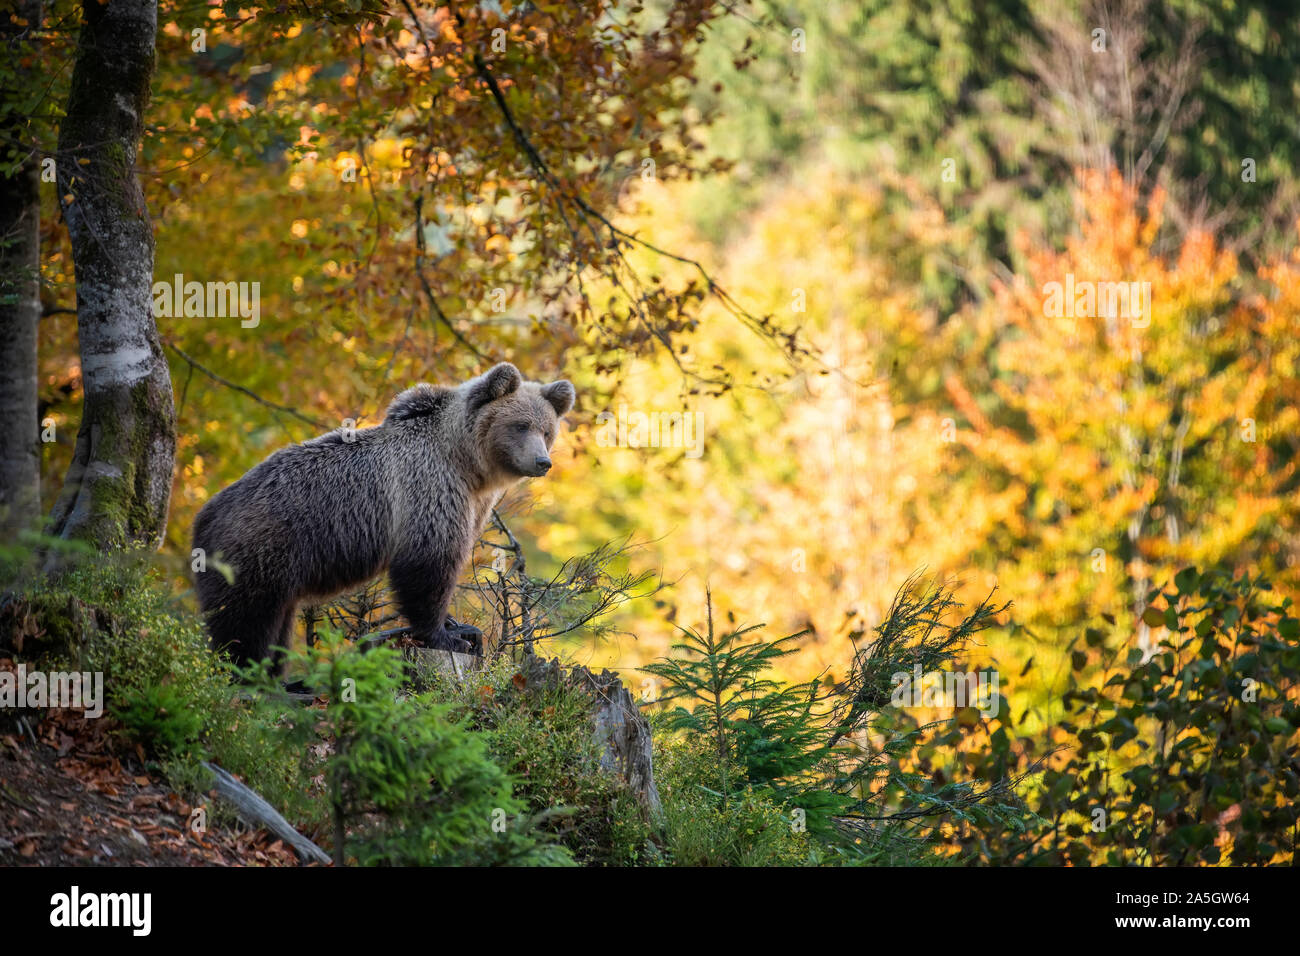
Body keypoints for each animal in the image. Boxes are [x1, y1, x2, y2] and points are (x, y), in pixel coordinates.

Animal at [192, 362, 575, 673]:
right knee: (246, 622)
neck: (466, 464)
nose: (542, 462)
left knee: (277, 625)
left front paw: (457, 625)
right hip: (259, 549)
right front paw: (446, 634)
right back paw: (248, 673)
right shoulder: (427, 487)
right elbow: (428, 562)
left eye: (547, 430)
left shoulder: (473, 502)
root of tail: (203, 517)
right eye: (520, 425)